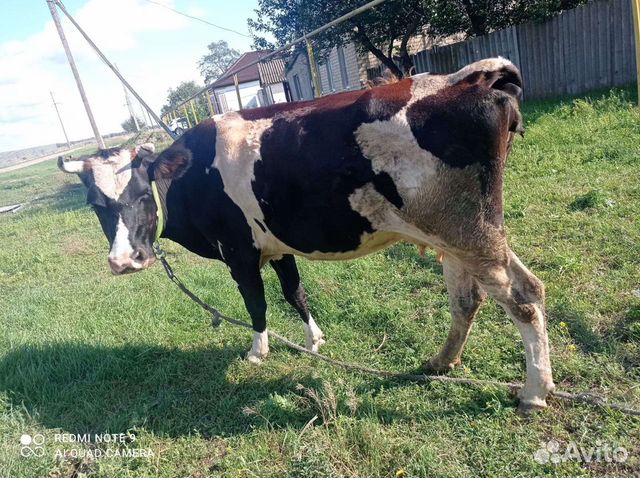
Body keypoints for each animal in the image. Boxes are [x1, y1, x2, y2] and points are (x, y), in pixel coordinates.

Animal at [58, 58, 555, 414]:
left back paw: (533, 392)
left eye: (143, 193)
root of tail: (472, 79)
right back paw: (441, 362)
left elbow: (256, 303)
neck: (194, 172)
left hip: (468, 233)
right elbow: (295, 293)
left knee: (523, 299)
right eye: (96, 204)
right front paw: (314, 341)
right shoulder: (277, 246)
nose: (124, 261)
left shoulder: (239, 251)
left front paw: (258, 350)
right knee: (480, 297)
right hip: (459, 234)